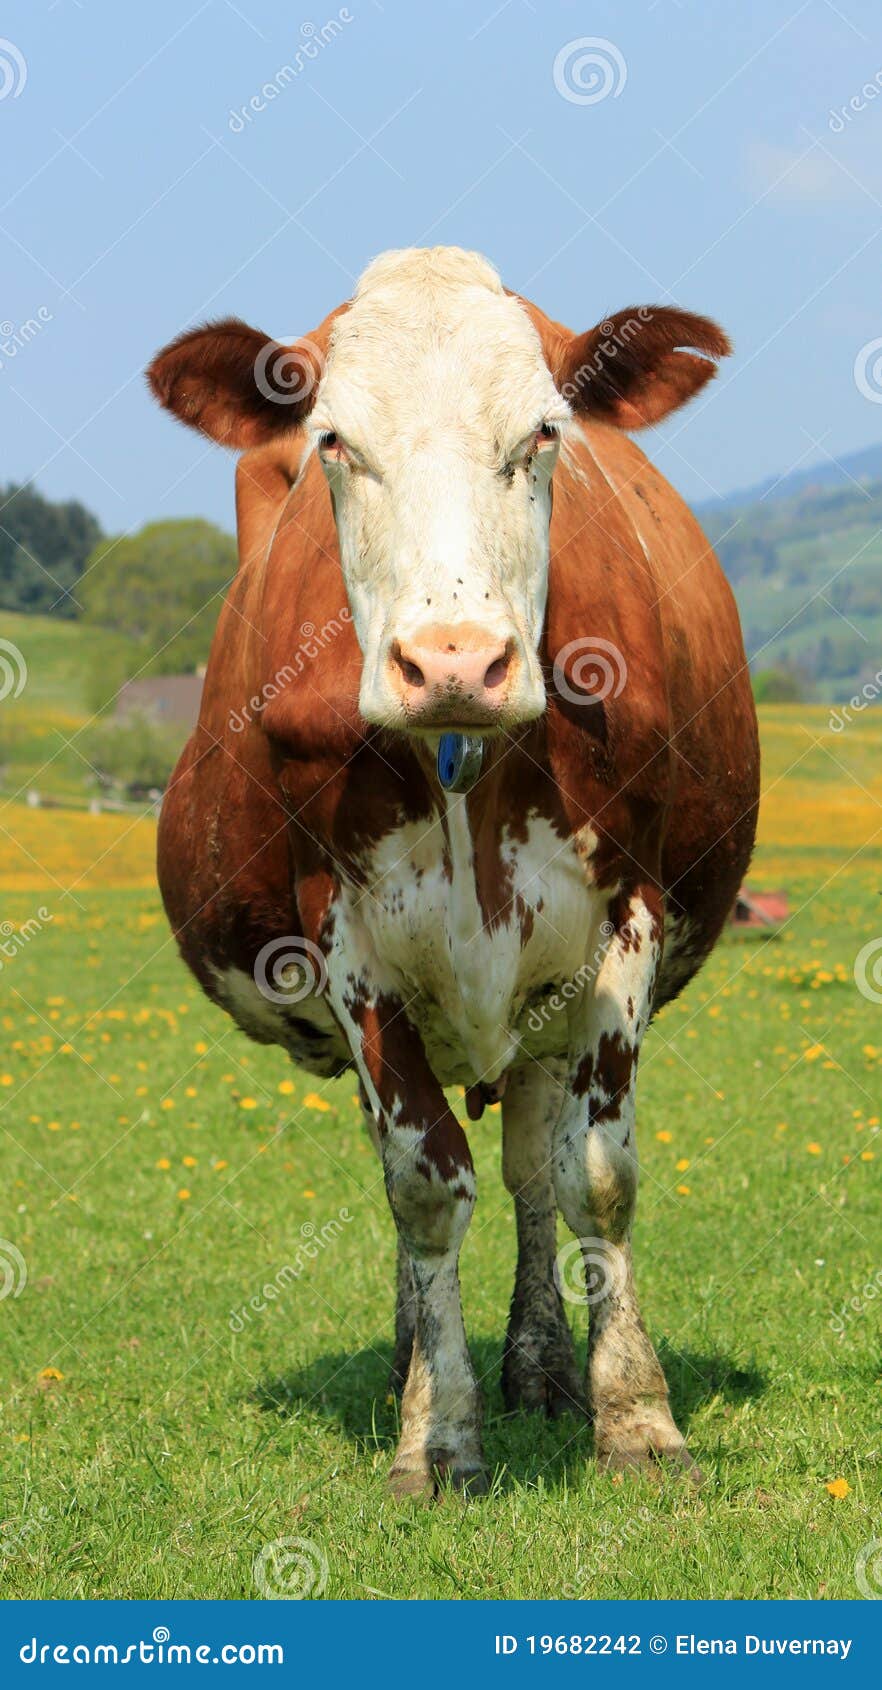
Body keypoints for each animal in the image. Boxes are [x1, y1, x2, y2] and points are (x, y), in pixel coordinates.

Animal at [148, 246, 759, 1499]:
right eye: (334, 441)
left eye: (544, 433)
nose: (454, 663)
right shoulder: (347, 939)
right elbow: (424, 1186)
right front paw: (439, 1434)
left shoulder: (623, 917)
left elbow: (596, 1176)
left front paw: (637, 1417)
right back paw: (412, 1365)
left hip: (543, 1009)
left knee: (528, 1165)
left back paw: (542, 1365)